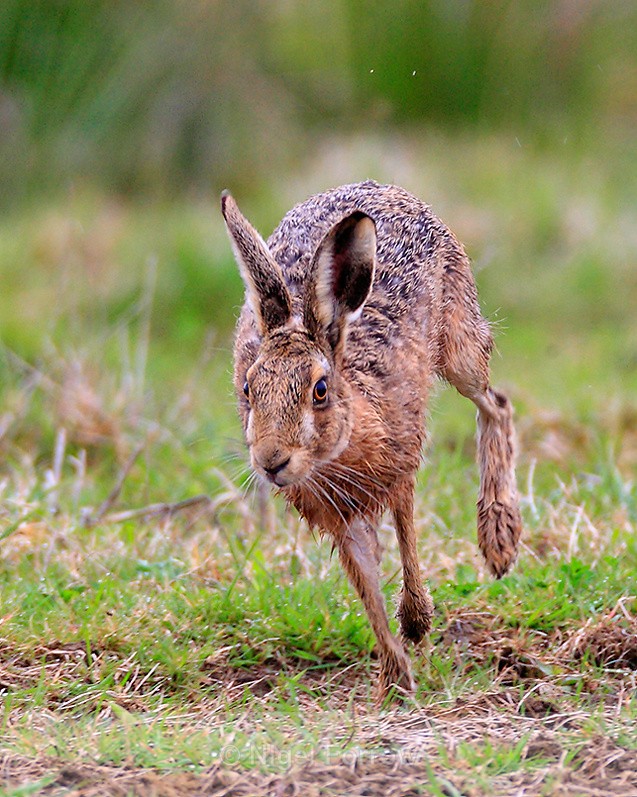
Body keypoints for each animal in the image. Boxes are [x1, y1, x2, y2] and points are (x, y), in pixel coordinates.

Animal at [221, 180, 522, 700]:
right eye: (247, 389)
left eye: (320, 390)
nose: (270, 461)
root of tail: (384, 189)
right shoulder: (336, 516)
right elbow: (366, 585)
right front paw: (394, 681)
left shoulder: (400, 457)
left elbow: (405, 529)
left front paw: (417, 624)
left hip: (459, 347)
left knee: (495, 404)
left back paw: (499, 538)